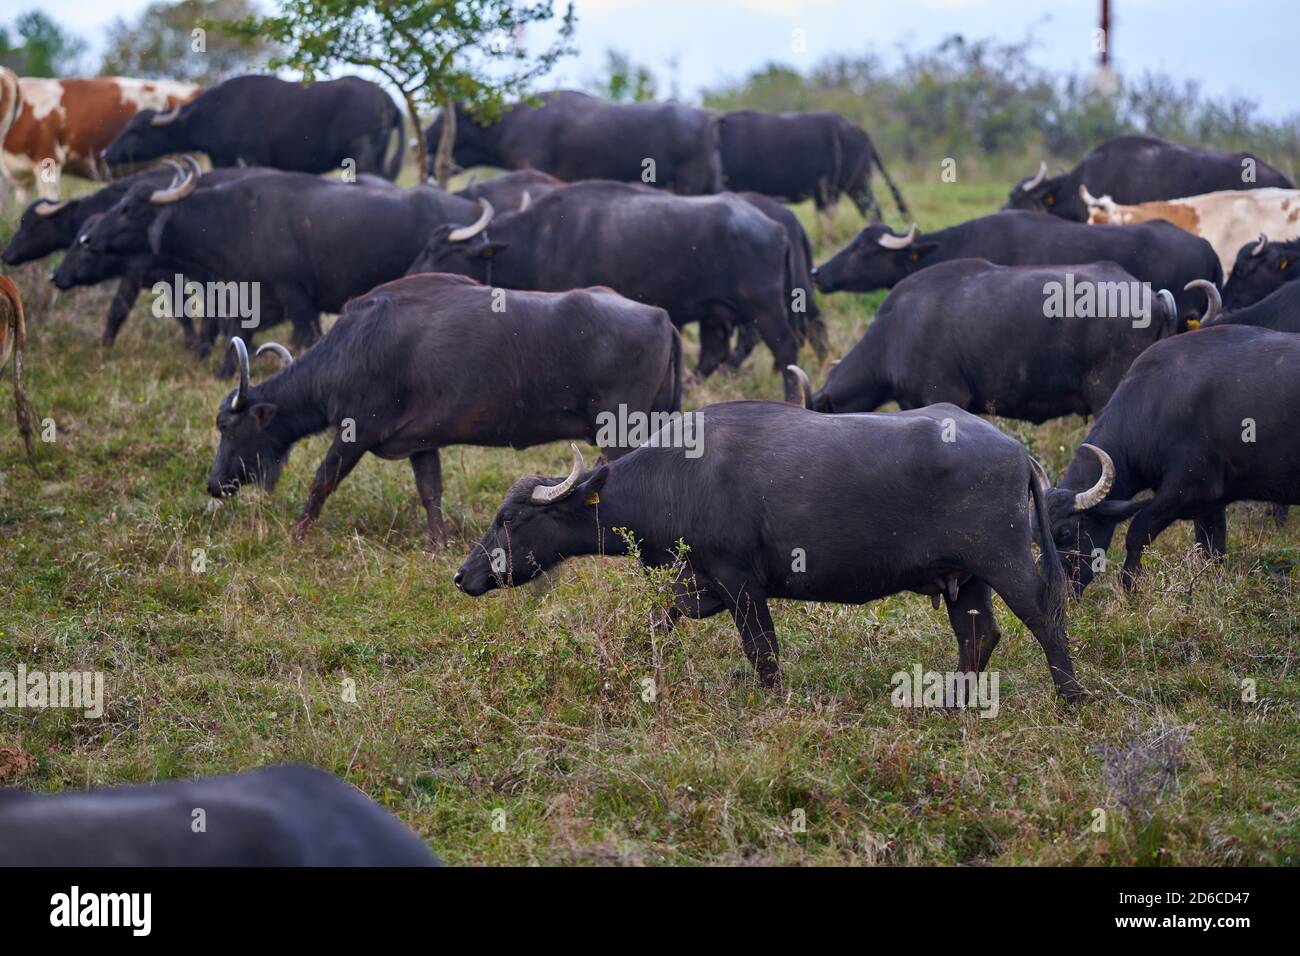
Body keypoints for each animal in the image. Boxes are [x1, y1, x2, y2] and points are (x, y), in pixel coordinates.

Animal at [102, 75, 404, 181]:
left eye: (136, 130)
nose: (107, 153)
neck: (217, 113)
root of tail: (386, 99)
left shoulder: (251, 158)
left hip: (361, 158)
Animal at [207, 273, 682, 547]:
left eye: (227, 426)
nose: (213, 485)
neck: (353, 348)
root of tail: (661, 316)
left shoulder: (354, 433)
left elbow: (322, 481)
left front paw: (297, 536)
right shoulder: (421, 443)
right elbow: (430, 491)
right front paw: (438, 544)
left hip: (619, 430)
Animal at [407, 181, 804, 401]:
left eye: (439, 251)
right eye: (426, 245)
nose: (409, 275)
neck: (539, 240)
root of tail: (776, 226)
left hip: (764, 306)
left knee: (785, 347)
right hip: (715, 313)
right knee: (713, 353)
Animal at [455, 403, 1122, 700]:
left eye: (510, 518)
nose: (464, 576)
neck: (680, 475)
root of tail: (1016, 452)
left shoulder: (740, 583)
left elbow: (763, 651)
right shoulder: (697, 585)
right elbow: (656, 624)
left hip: (1004, 561)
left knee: (1044, 615)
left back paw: (1071, 699)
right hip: (964, 578)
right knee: (979, 636)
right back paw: (950, 702)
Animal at [1039, 324, 1300, 594]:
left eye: (1066, 532)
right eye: (1037, 536)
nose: (1056, 589)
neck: (1153, 405)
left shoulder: (1187, 489)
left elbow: (1136, 533)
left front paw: (1131, 586)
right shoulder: (1212, 502)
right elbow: (1211, 549)